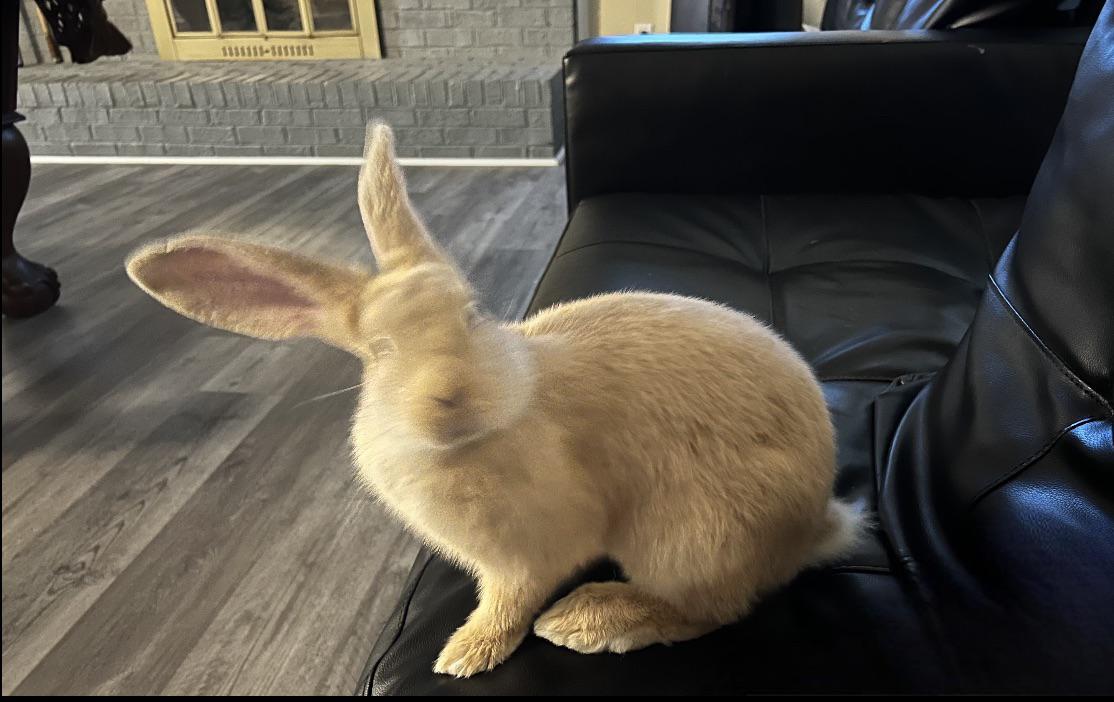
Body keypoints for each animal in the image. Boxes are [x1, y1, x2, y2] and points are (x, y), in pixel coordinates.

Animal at [126, 123, 865, 680]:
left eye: (472, 314)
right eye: (380, 352)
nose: (451, 395)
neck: (470, 443)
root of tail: (817, 522)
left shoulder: (527, 555)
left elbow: (509, 603)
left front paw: (464, 654)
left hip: (689, 540)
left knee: (713, 610)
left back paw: (588, 620)